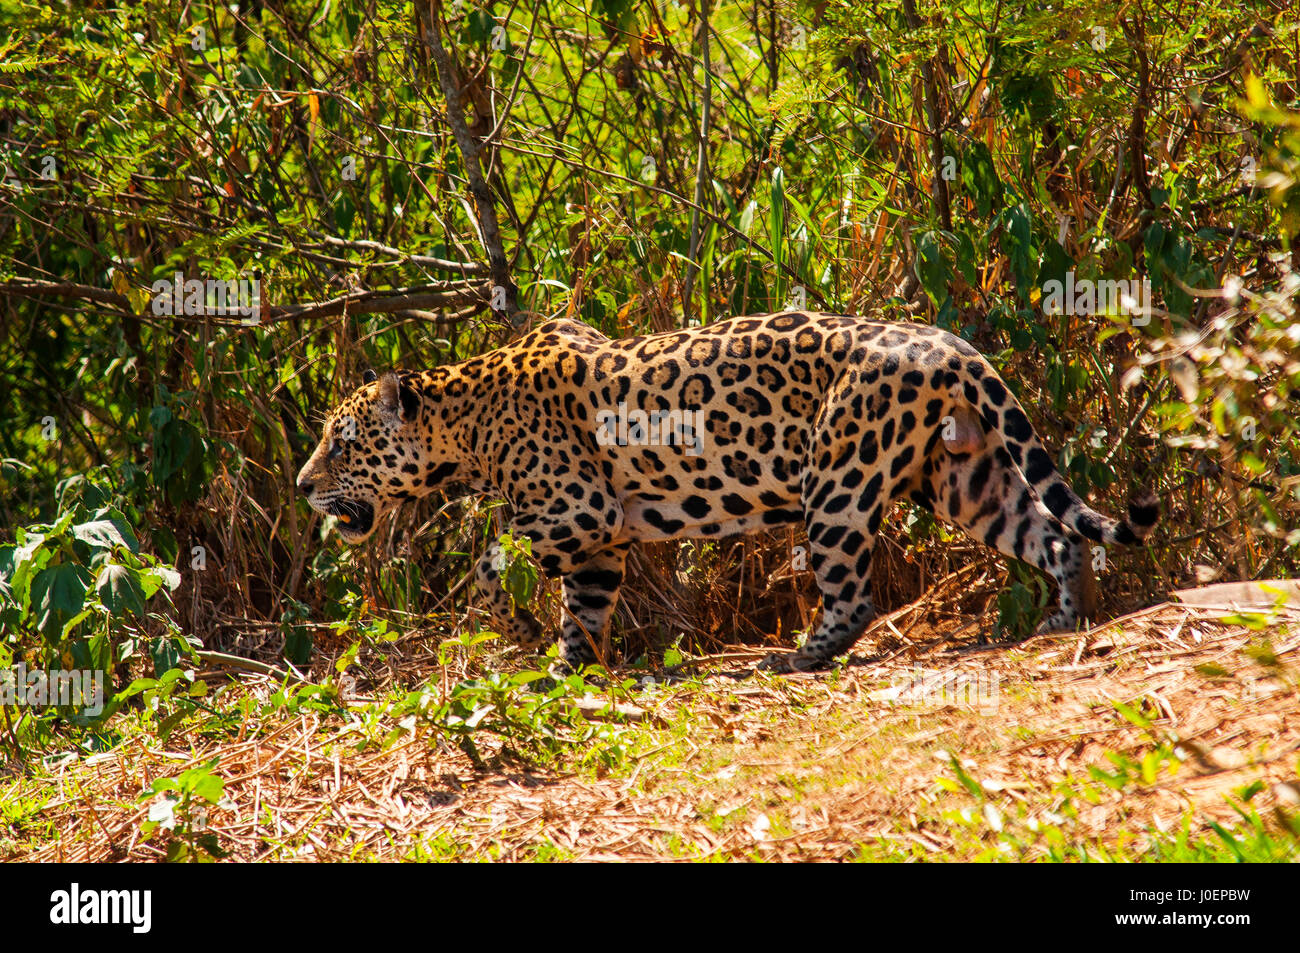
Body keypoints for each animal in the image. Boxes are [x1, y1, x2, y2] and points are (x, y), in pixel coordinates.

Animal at [296, 311, 1157, 672]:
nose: (304, 487)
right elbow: (585, 607)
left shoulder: (579, 510)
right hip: (961, 477)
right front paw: (568, 666)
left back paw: (796, 658)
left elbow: (492, 558)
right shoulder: (601, 540)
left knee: (853, 594)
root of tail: (949, 344)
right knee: (1051, 533)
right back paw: (1062, 618)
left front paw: (499, 618)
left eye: (341, 444)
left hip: (835, 480)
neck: (464, 426)